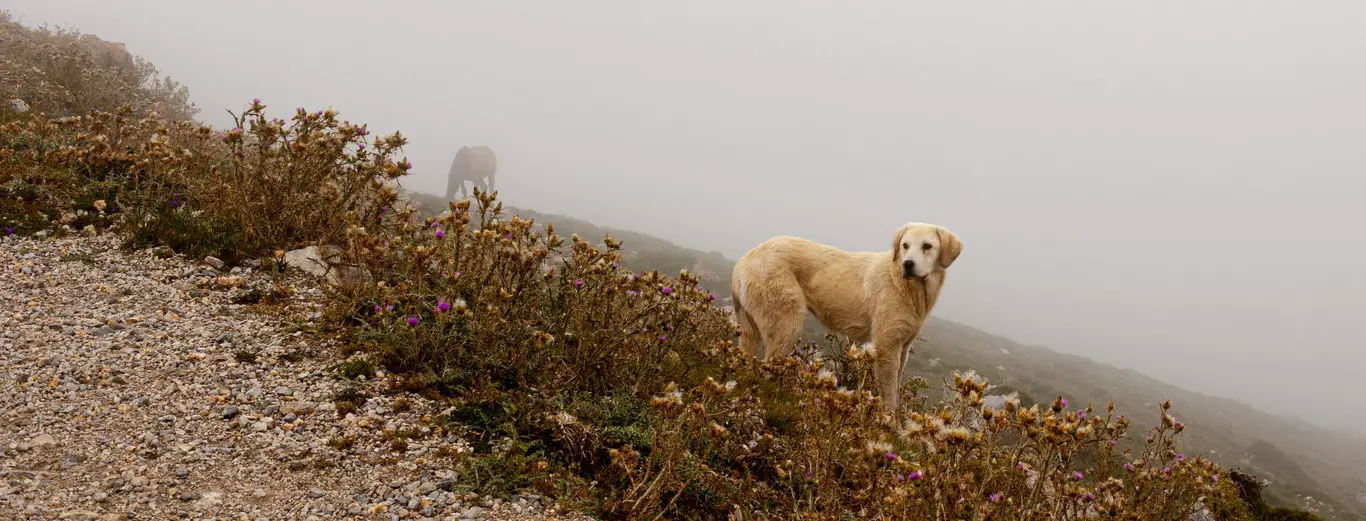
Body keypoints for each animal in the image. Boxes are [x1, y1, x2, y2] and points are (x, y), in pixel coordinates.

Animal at [737, 221, 961, 412]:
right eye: (905, 245)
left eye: (927, 246)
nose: (907, 264)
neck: (907, 286)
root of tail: (746, 258)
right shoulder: (887, 347)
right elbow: (889, 398)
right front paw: (889, 427)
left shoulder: (903, 348)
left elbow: (896, 391)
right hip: (786, 324)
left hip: (751, 331)